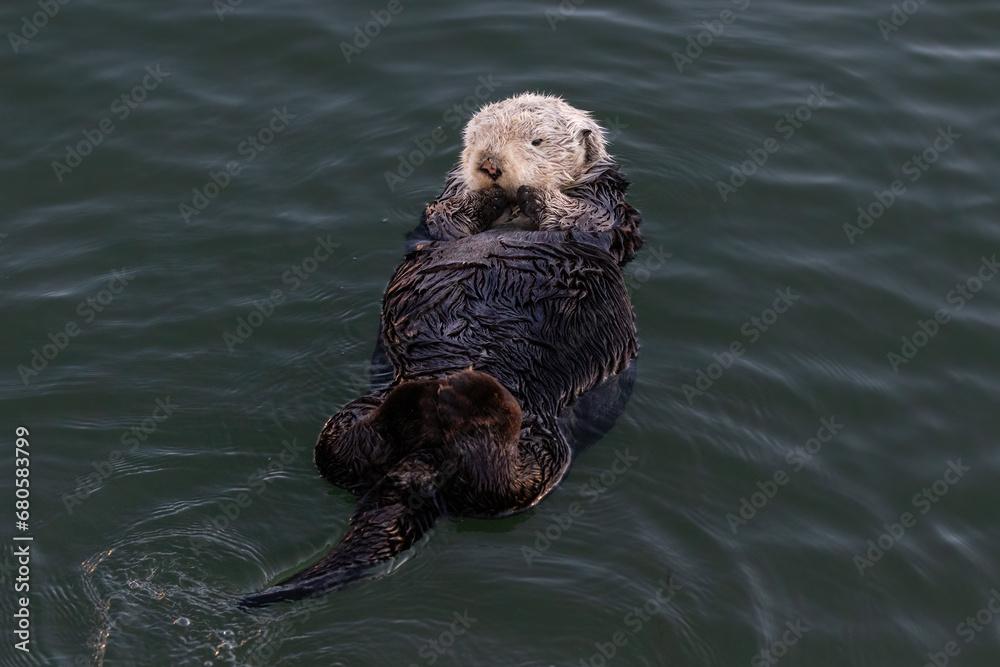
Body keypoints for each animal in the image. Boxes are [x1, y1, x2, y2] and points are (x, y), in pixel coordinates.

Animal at [241, 93, 643, 606]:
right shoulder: (439, 217)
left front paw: (533, 192)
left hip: (543, 444)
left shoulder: (611, 213)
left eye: (536, 141)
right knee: (339, 451)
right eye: (475, 139)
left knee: (505, 486)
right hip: (360, 412)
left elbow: (582, 217)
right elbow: (445, 216)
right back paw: (419, 401)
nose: (489, 165)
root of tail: (426, 462)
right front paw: (480, 194)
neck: (513, 215)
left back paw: (471, 397)